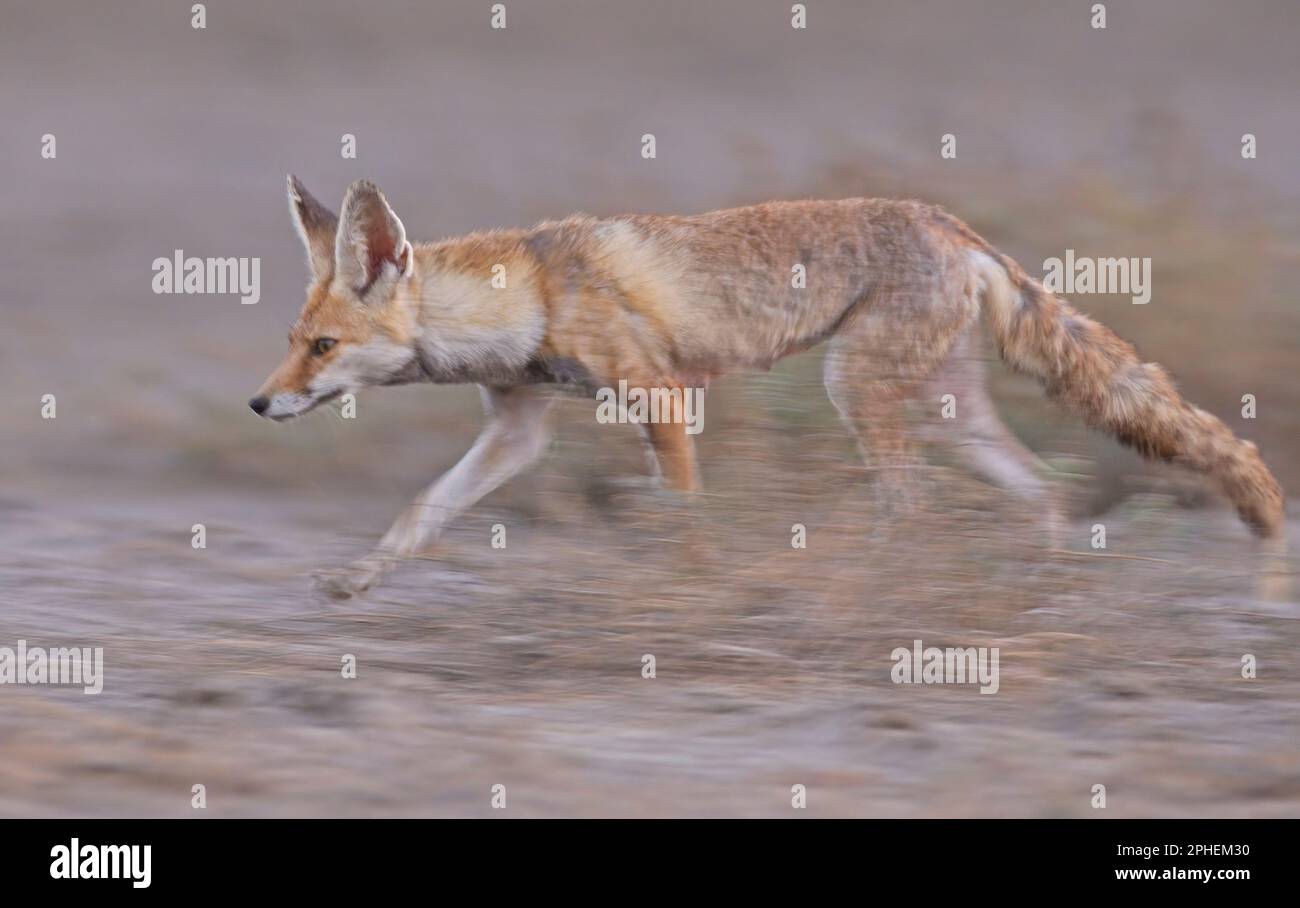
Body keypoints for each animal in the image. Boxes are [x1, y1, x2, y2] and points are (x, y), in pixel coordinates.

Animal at [252, 176, 1285, 597]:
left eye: (324, 346)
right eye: (292, 343)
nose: (259, 405)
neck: (532, 293)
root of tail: (952, 225)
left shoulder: (660, 398)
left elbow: (686, 520)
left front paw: (700, 597)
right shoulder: (520, 427)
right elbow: (419, 513)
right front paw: (358, 579)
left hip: (852, 389)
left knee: (911, 502)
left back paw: (864, 583)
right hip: (948, 413)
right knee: (1045, 495)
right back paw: (1040, 586)